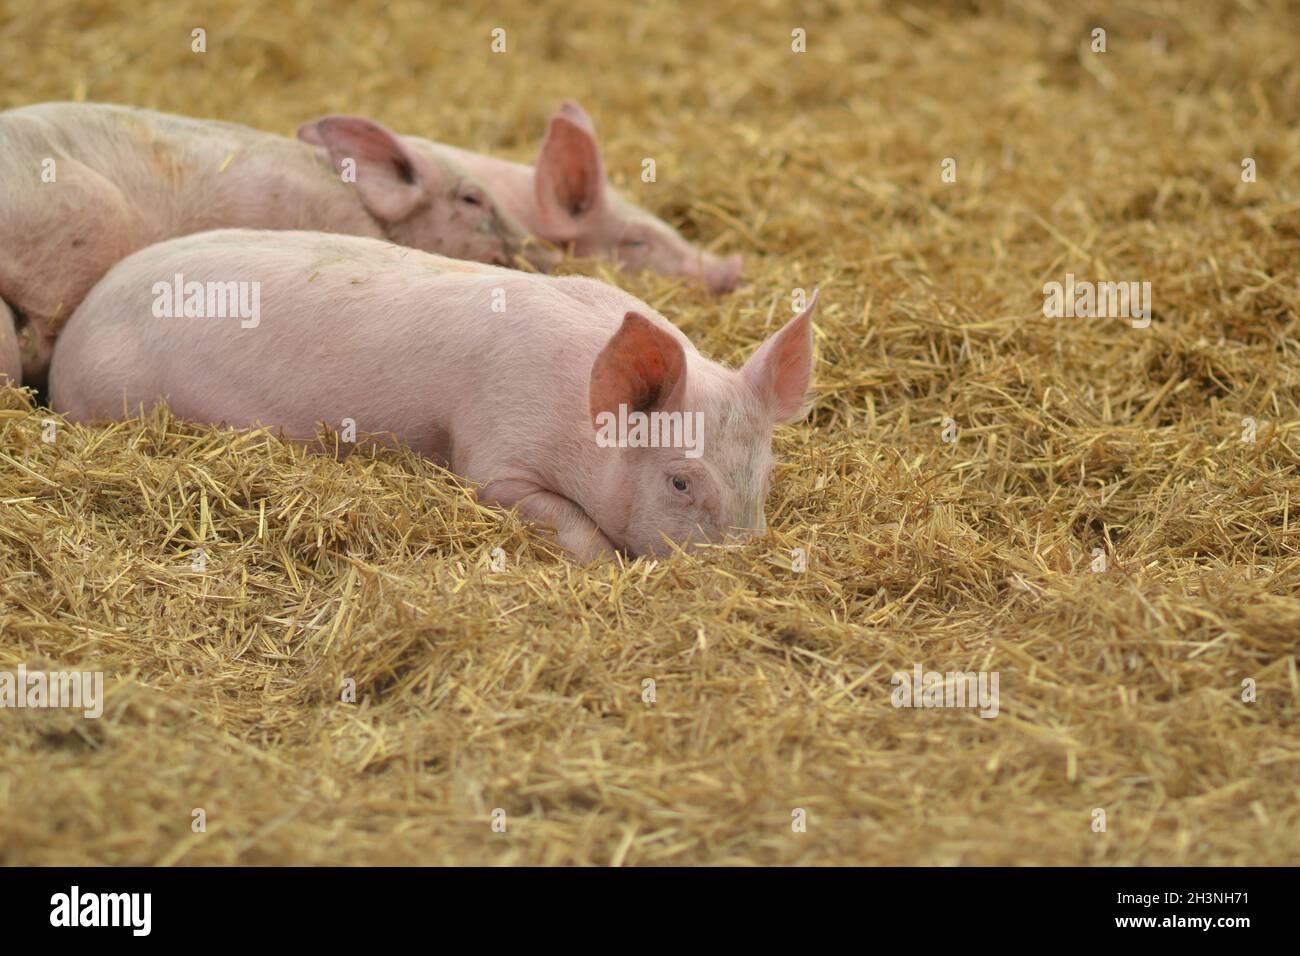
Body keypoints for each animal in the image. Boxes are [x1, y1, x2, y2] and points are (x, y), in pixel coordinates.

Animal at [50, 229, 815, 561]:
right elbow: (568, 524)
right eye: (682, 482)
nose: (745, 566)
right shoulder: (494, 456)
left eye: (767, 473)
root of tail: (77, 323)